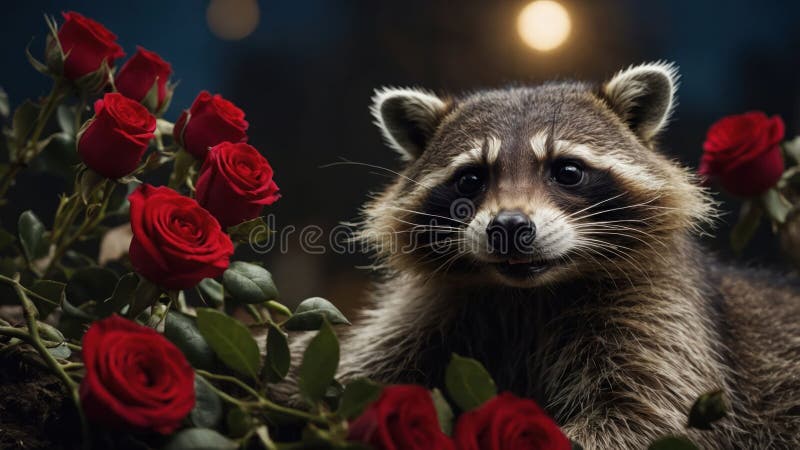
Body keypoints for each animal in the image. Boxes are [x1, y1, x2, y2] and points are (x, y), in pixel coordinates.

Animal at [284, 63, 800, 449]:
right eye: (470, 178)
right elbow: (345, 367)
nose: (509, 228)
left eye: (567, 171)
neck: (529, 293)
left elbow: (650, 414)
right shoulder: (435, 309)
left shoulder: (663, 312)